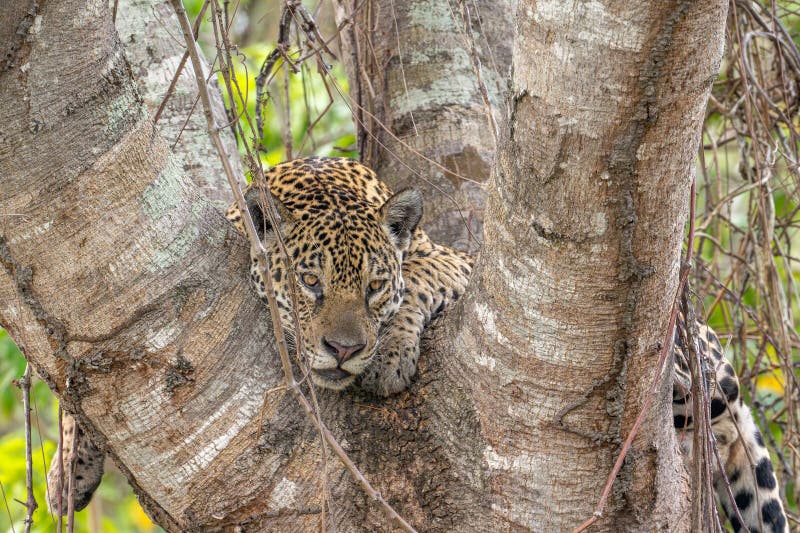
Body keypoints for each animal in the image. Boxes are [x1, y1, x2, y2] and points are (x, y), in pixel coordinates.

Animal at [47, 157, 788, 533]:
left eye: (374, 287)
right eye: (310, 283)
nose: (343, 349)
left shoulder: (449, 260)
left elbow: (421, 280)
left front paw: (390, 354)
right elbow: (74, 377)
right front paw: (65, 472)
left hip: (691, 355)